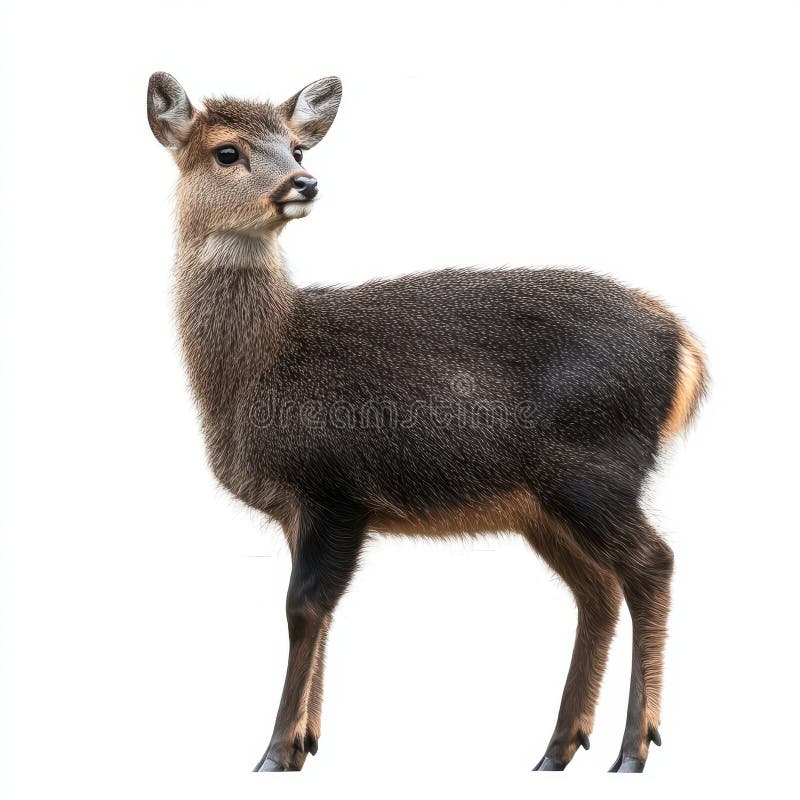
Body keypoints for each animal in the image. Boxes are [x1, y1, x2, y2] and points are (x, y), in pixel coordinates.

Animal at [147, 72, 707, 773]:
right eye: (227, 151)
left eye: (296, 147)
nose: (304, 183)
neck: (258, 368)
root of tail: (685, 349)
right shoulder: (300, 507)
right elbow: (319, 611)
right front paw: (304, 745)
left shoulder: (335, 485)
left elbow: (304, 608)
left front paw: (274, 753)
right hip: (544, 502)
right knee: (598, 590)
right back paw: (557, 749)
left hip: (594, 467)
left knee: (652, 564)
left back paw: (633, 748)